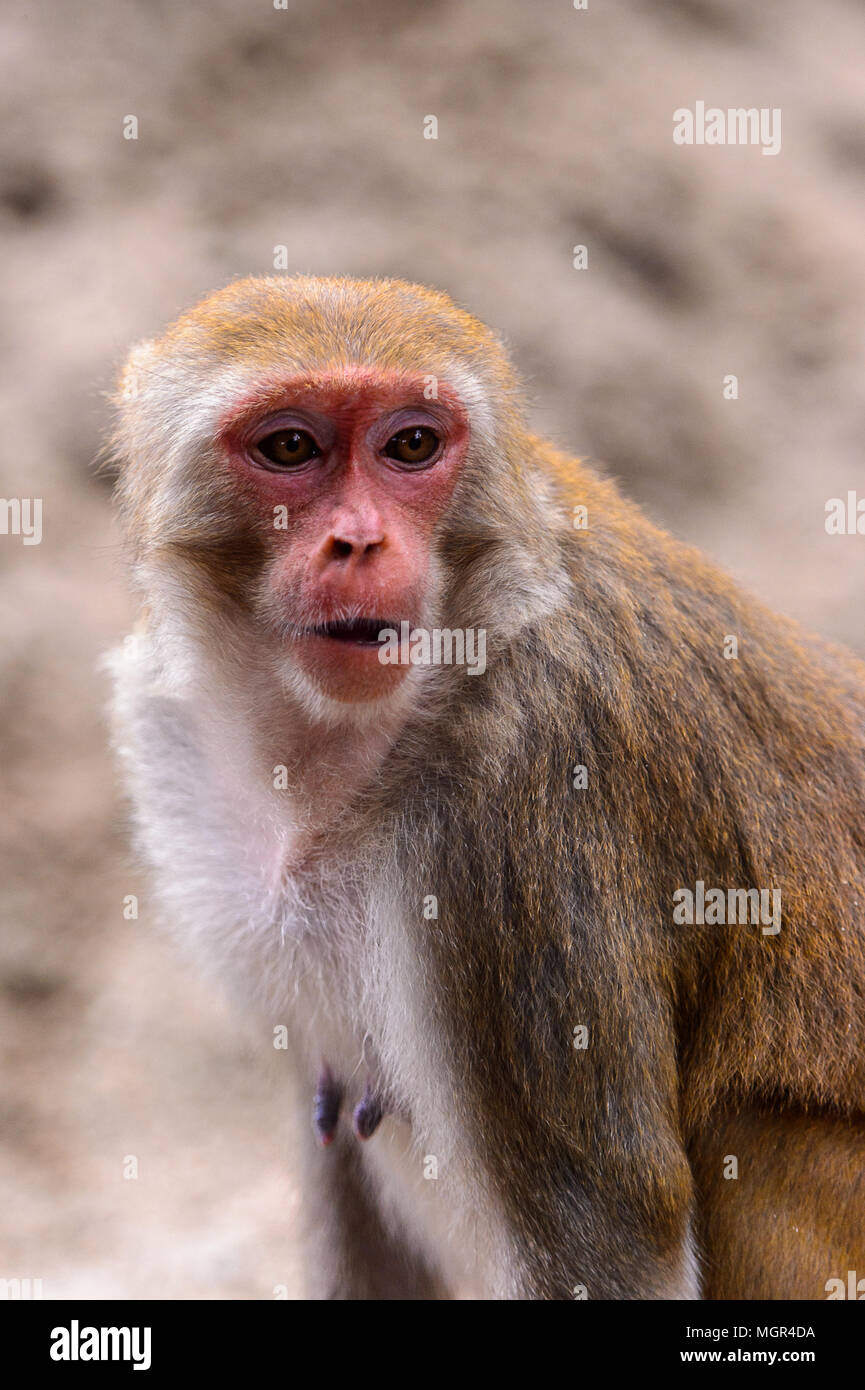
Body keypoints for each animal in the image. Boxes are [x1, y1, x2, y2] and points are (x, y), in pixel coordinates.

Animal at [108, 274, 865, 1301]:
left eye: (411, 446)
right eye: (290, 448)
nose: (359, 541)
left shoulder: (521, 796)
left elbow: (605, 1245)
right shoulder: (172, 746)